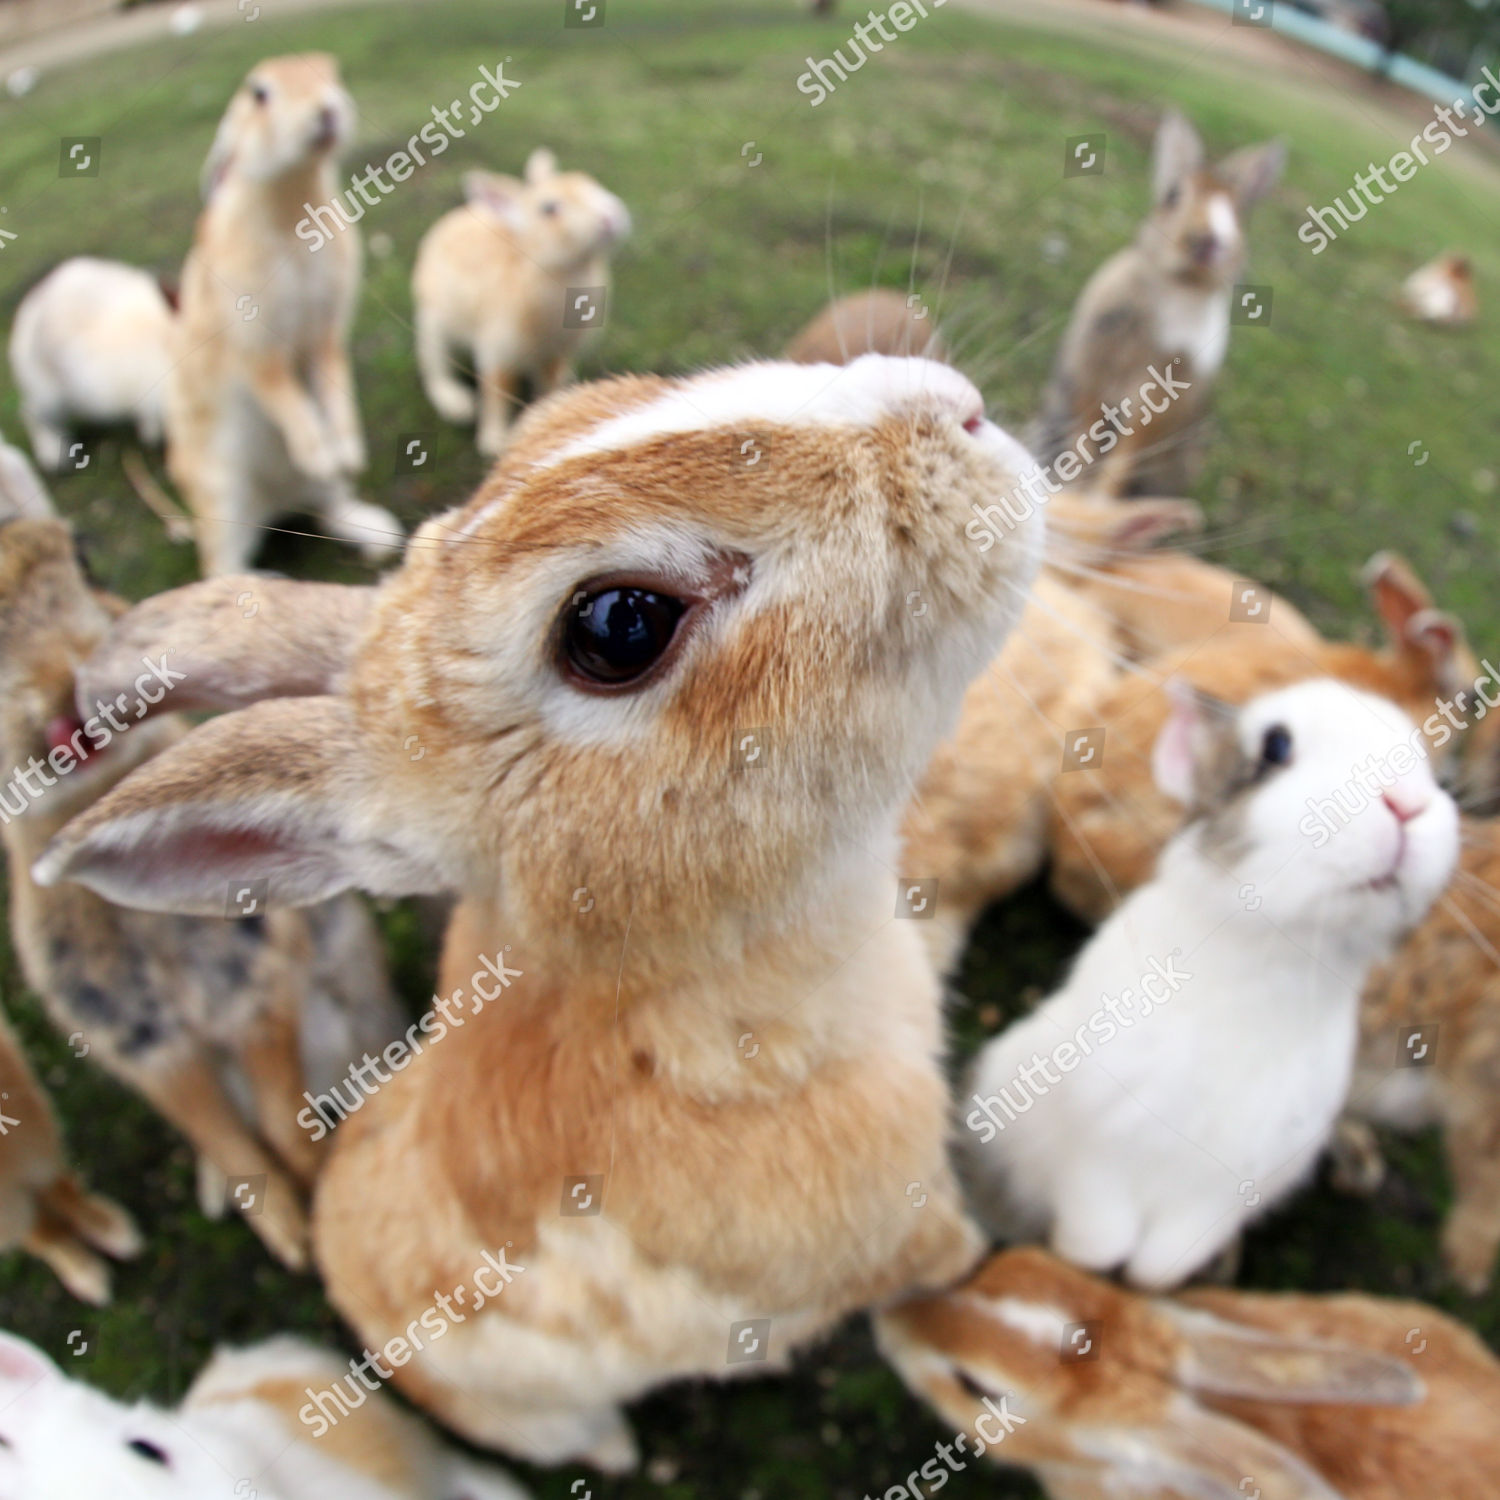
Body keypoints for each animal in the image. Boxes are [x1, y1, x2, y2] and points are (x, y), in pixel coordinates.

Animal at [0, 445, 402, 1270]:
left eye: (81, 557)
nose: (69, 682)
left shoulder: (255, 980)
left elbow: (279, 1112)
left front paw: (309, 1207)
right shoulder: (144, 1040)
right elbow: (219, 1130)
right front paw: (284, 1229)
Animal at [168, 53, 402, 575]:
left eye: (330, 72)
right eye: (259, 93)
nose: (326, 110)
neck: (293, 196)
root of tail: (274, 506)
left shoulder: (325, 337)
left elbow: (334, 385)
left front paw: (347, 454)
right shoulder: (257, 348)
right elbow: (282, 393)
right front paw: (319, 454)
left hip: (312, 497)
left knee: (328, 510)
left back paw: (380, 532)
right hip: (223, 493)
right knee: (221, 563)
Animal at [411, 148, 630, 455]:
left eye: (590, 184)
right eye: (549, 209)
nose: (610, 217)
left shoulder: (554, 353)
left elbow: (546, 386)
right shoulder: (497, 351)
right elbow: (499, 392)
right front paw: (494, 443)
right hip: (434, 326)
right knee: (434, 364)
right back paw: (456, 404)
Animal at [965, 678, 1459, 1290]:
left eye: (1436, 774)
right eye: (1275, 746)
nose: (1408, 803)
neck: (1268, 961)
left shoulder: (1218, 1195)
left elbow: (1159, 1264)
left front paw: (1151, 1284)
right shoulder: (1095, 1158)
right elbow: (1098, 1241)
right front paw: (1082, 1266)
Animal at [1034, 111, 1285, 497]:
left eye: (1238, 212)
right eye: (1173, 195)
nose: (1208, 241)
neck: (1180, 285)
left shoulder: (1155, 407)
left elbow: (1121, 462)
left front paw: (1097, 501)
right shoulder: (1094, 379)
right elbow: (1085, 444)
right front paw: (1076, 491)